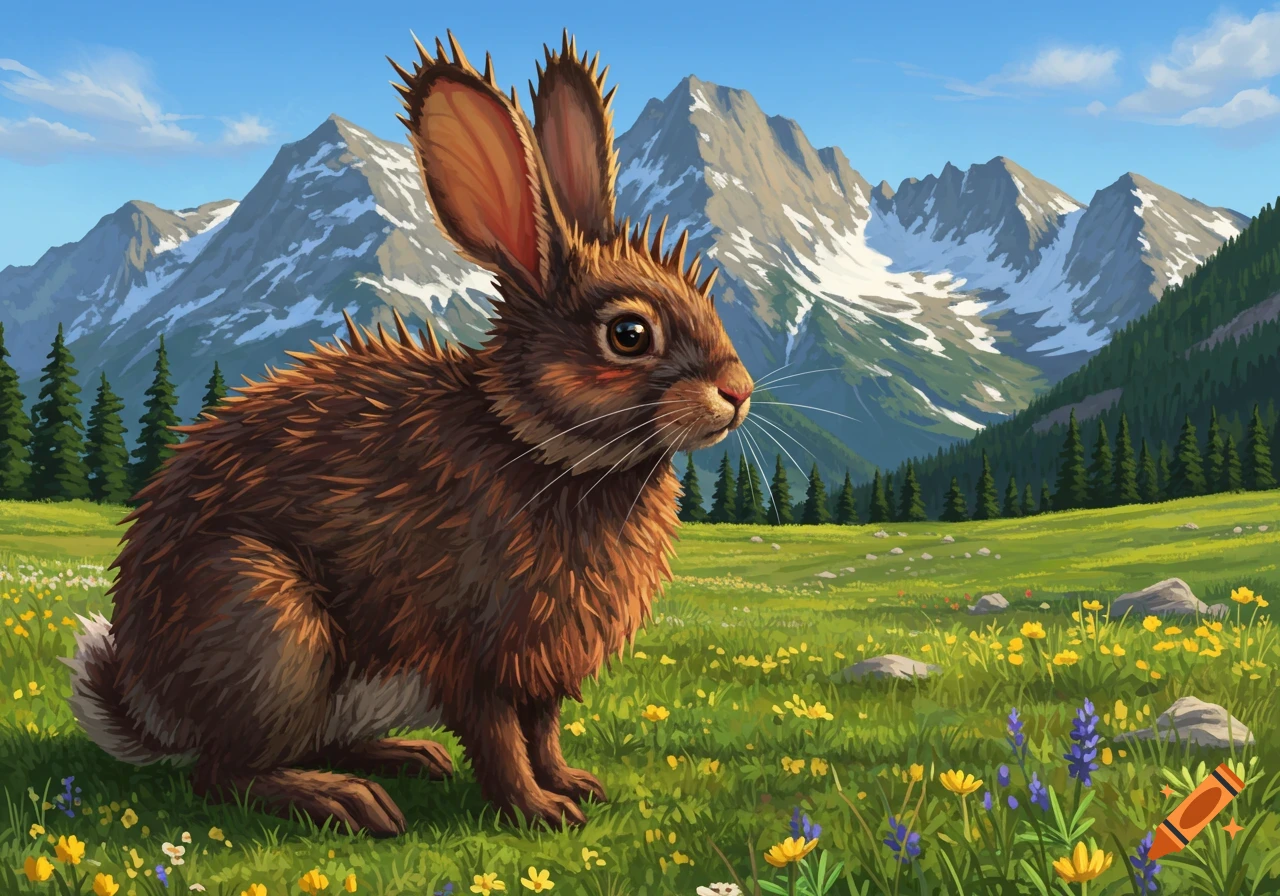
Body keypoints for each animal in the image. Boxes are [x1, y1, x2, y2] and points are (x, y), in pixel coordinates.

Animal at [63, 30, 753, 836]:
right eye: (629, 334)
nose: (738, 392)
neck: (539, 445)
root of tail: (147, 705)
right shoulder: (469, 647)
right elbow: (500, 738)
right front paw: (540, 811)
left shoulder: (545, 664)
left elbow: (544, 730)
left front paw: (575, 785)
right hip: (269, 622)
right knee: (223, 772)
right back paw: (346, 799)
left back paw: (407, 757)